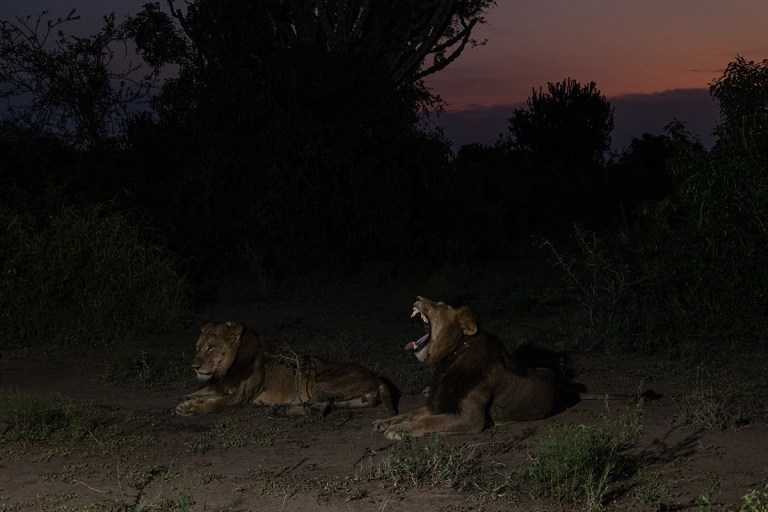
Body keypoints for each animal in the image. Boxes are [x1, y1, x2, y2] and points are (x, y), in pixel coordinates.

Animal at [176, 321, 397, 417]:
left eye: (211, 347)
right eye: (197, 347)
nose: (194, 366)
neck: (228, 367)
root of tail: (375, 376)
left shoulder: (240, 397)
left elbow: (214, 403)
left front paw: (189, 407)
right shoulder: (220, 386)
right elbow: (198, 392)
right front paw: (186, 399)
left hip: (322, 385)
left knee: (319, 407)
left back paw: (281, 410)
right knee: (329, 405)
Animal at [372, 297, 559, 439]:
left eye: (439, 305)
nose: (418, 298)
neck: (452, 358)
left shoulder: (470, 419)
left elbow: (428, 421)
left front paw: (399, 429)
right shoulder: (441, 403)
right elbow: (411, 413)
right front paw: (385, 422)